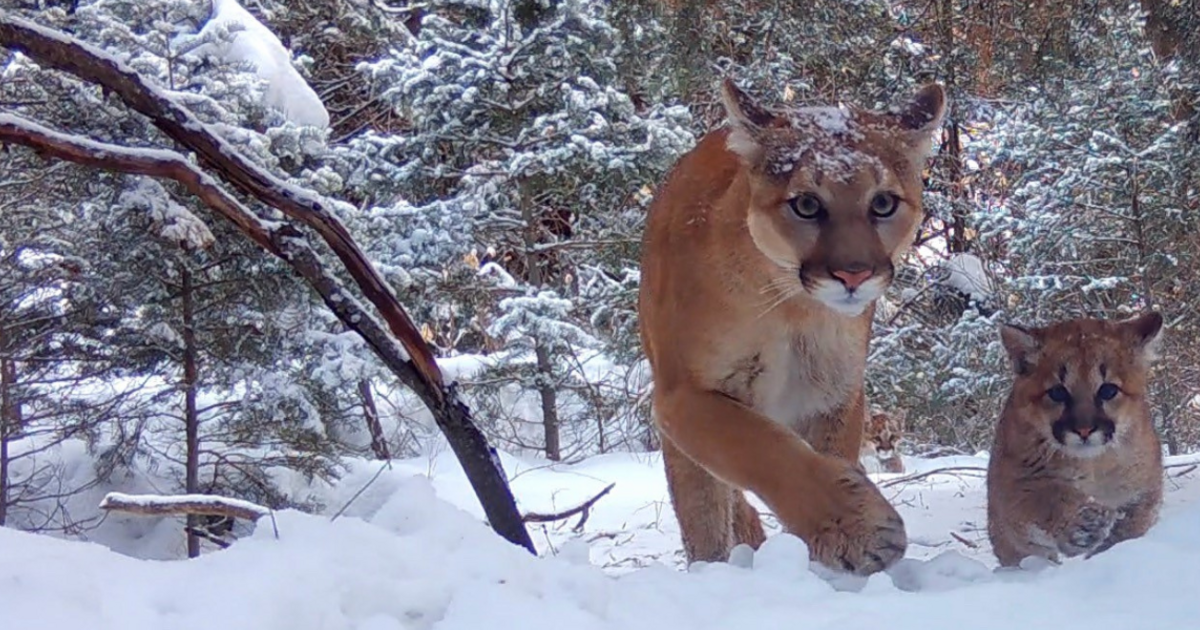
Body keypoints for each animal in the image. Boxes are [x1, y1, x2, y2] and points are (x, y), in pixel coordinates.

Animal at [637, 78, 945, 575]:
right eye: (806, 204)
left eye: (883, 203)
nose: (854, 274)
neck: (794, 308)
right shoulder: (683, 393)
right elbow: (763, 449)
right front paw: (858, 529)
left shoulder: (837, 395)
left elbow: (826, 455)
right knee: (705, 509)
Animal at [987, 312, 1165, 567]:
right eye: (1057, 392)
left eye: (1108, 390)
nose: (1084, 429)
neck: (1092, 466)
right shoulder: (1013, 488)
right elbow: (1045, 498)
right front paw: (1082, 525)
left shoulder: (1146, 488)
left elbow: (1133, 523)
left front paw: (1109, 546)